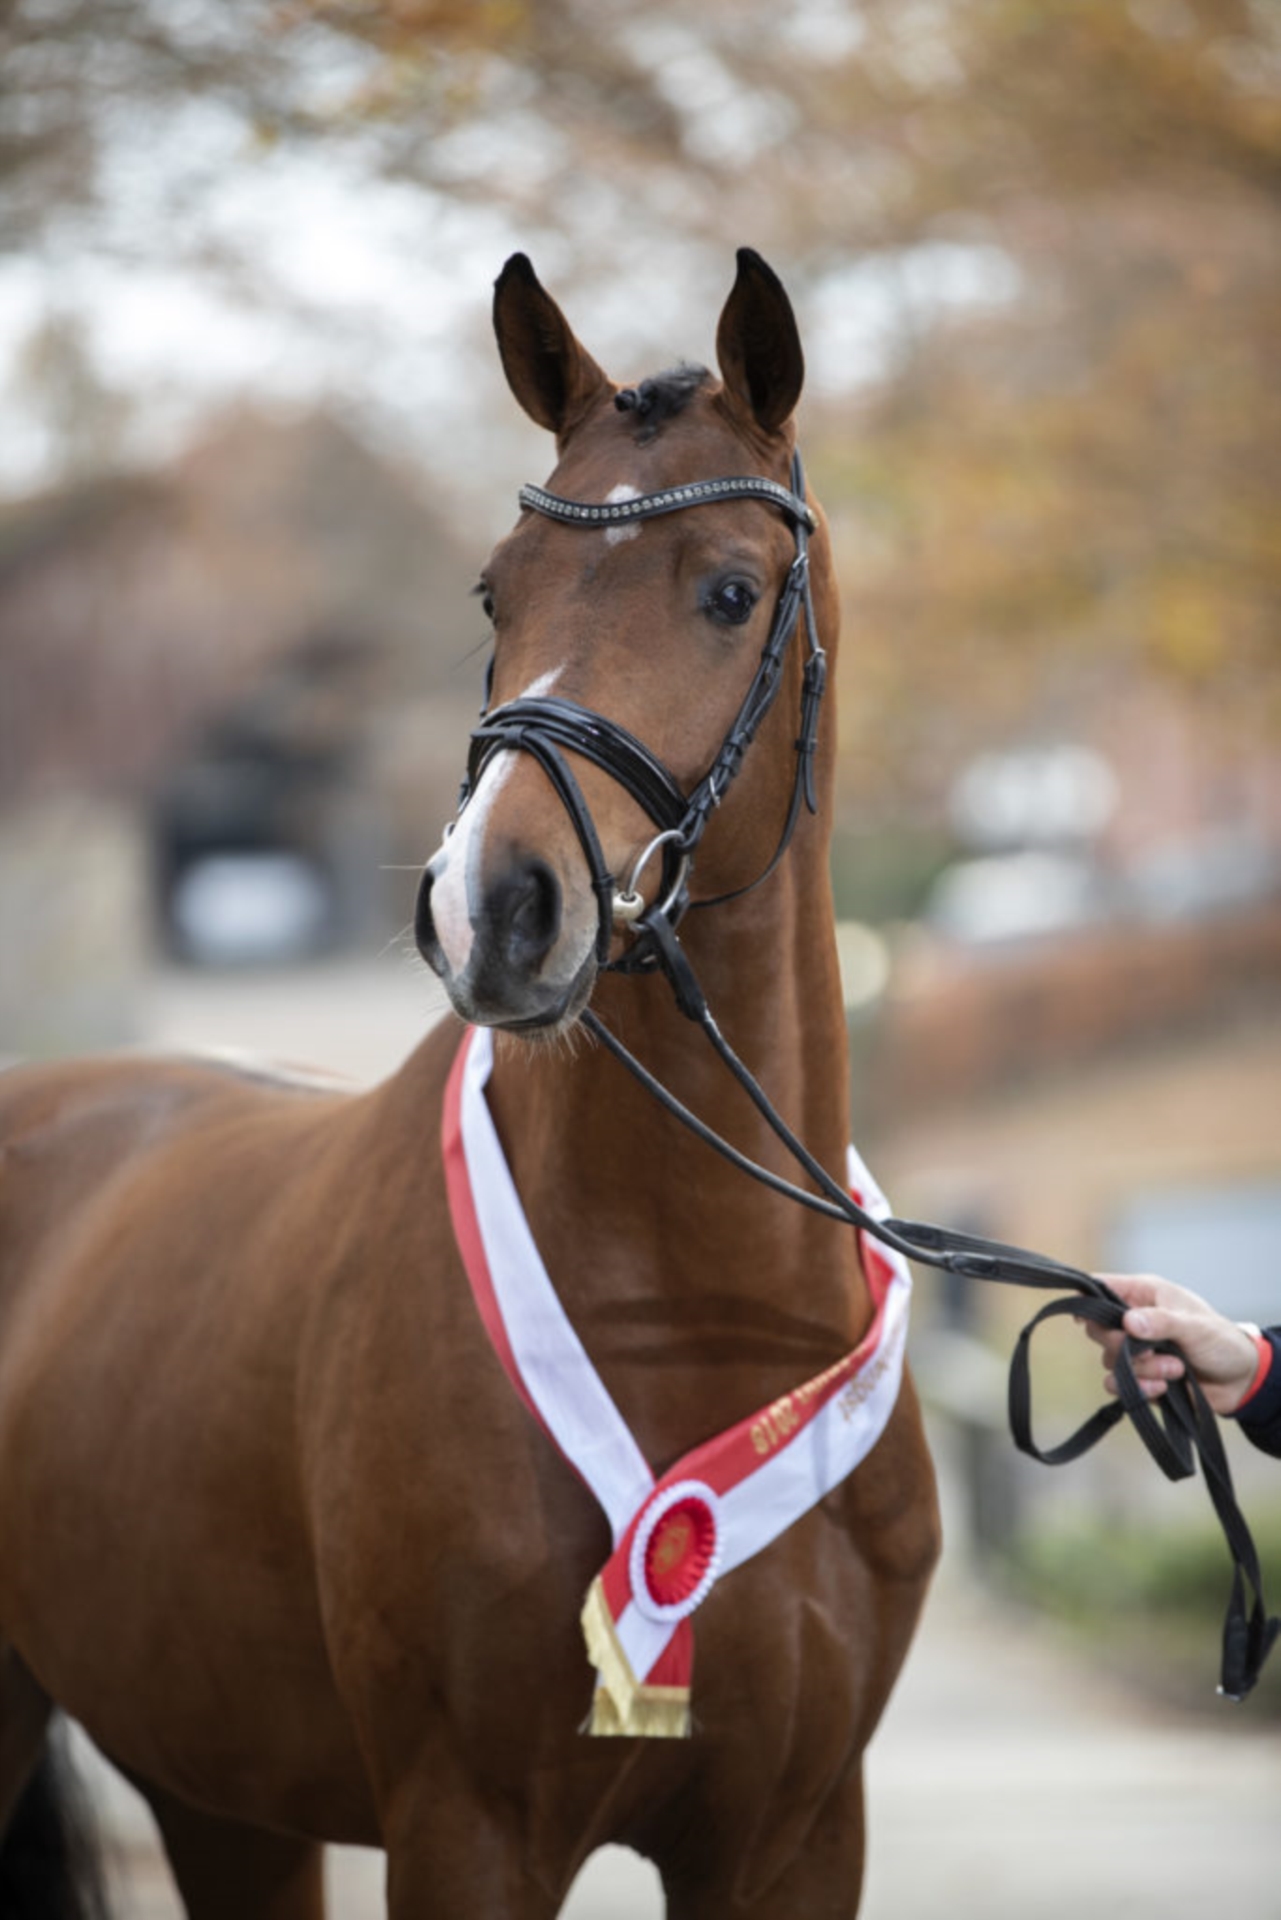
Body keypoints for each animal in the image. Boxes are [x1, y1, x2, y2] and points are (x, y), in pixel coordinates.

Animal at [0, 248, 940, 1918]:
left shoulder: (798, 1835)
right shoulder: (469, 1827)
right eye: (497, 589)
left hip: (220, 1790)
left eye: (729, 590)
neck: (696, 1319)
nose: (491, 906)